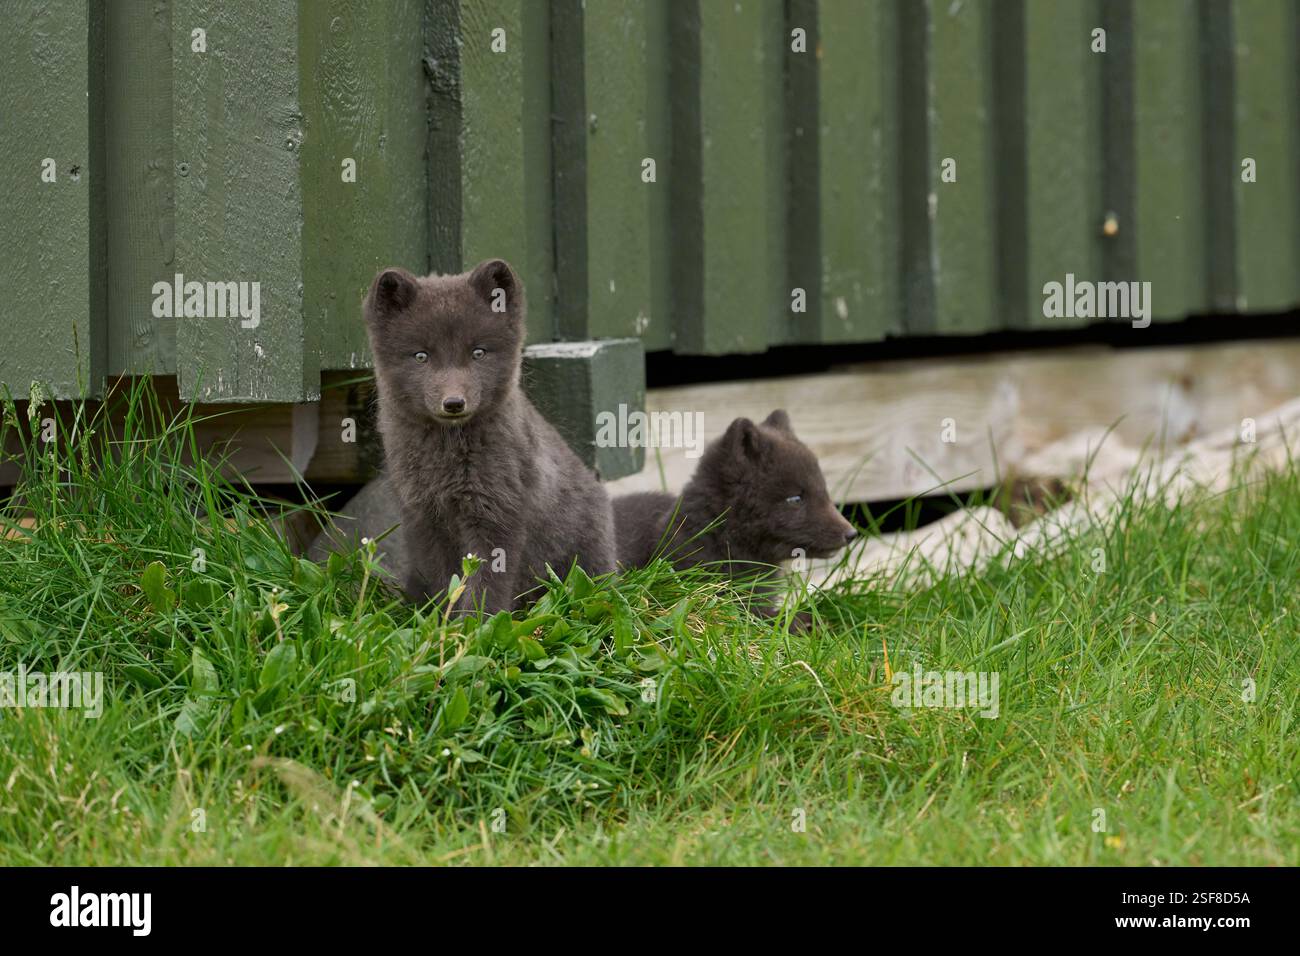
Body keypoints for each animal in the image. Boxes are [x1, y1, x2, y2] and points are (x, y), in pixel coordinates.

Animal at [362, 258, 615, 613]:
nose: (454, 403)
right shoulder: (423, 518)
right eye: (421, 356)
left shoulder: (498, 516)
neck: (447, 457)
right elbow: (445, 582)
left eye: (478, 353)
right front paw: (442, 621)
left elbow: (485, 586)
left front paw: (475, 624)